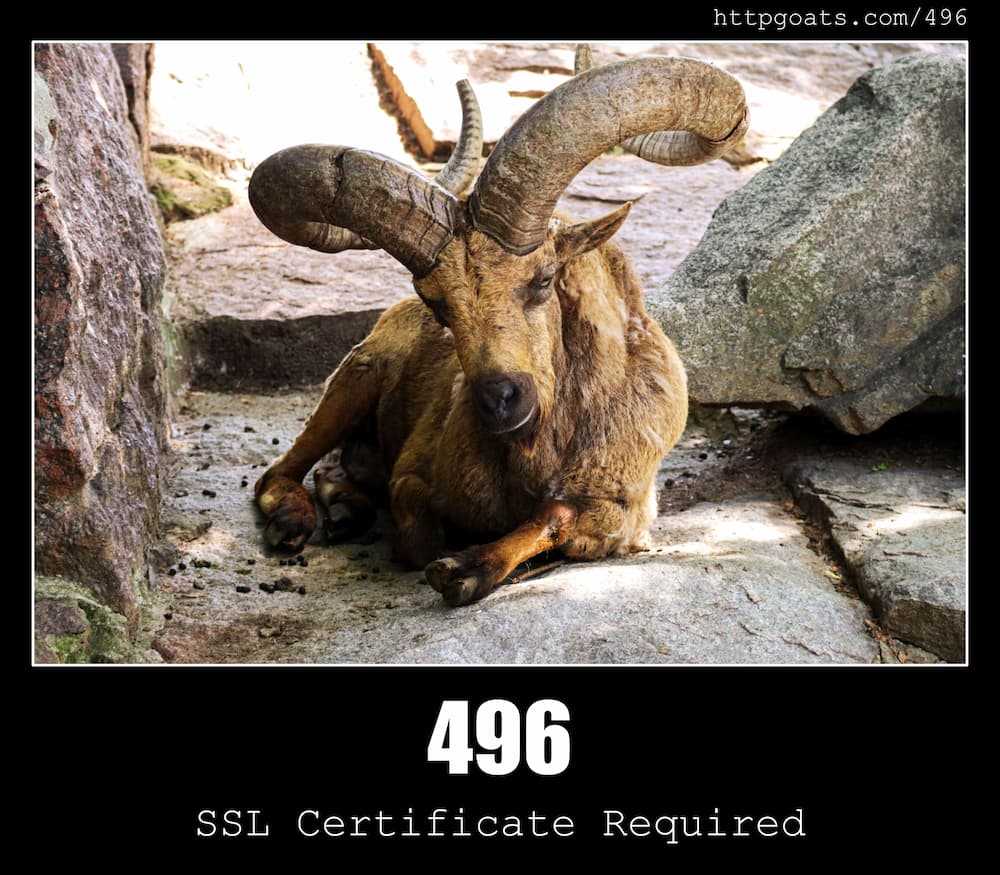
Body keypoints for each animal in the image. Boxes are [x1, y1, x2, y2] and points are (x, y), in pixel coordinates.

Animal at [249, 47, 748, 606]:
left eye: (544, 278)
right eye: (437, 303)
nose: (500, 399)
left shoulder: (626, 508)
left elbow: (556, 515)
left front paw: (465, 568)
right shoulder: (416, 473)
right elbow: (418, 533)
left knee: (329, 467)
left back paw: (344, 508)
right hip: (358, 375)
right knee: (281, 472)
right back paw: (302, 520)